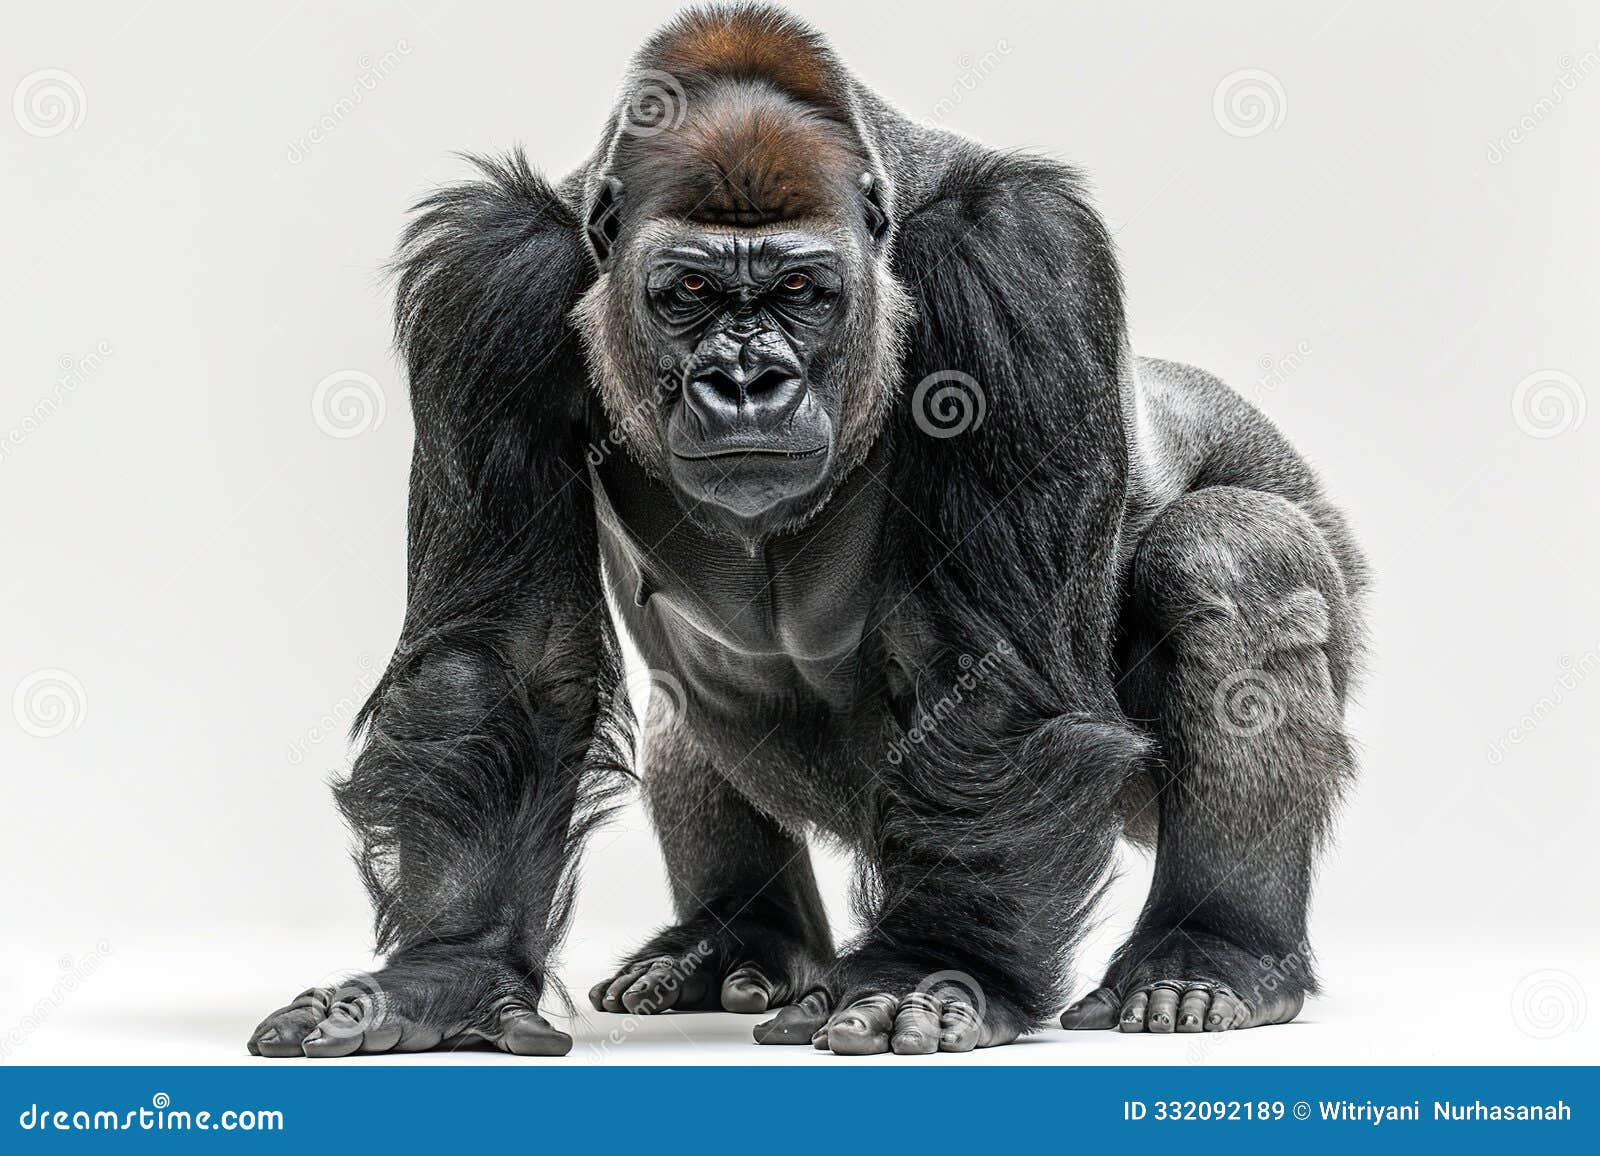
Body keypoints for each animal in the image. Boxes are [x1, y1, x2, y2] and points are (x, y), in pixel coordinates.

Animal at [248, 3, 1367, 1058]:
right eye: (689, 291)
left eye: (799, 290)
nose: (747, 383)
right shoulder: (488, 283)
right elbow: (506, 660)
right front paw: (450, 965)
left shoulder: (1021, 260)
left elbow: (992, 664)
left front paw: (937, 964)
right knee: (684, 709)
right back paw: (737, 940)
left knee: (1234, 547)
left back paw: (1213, 952)